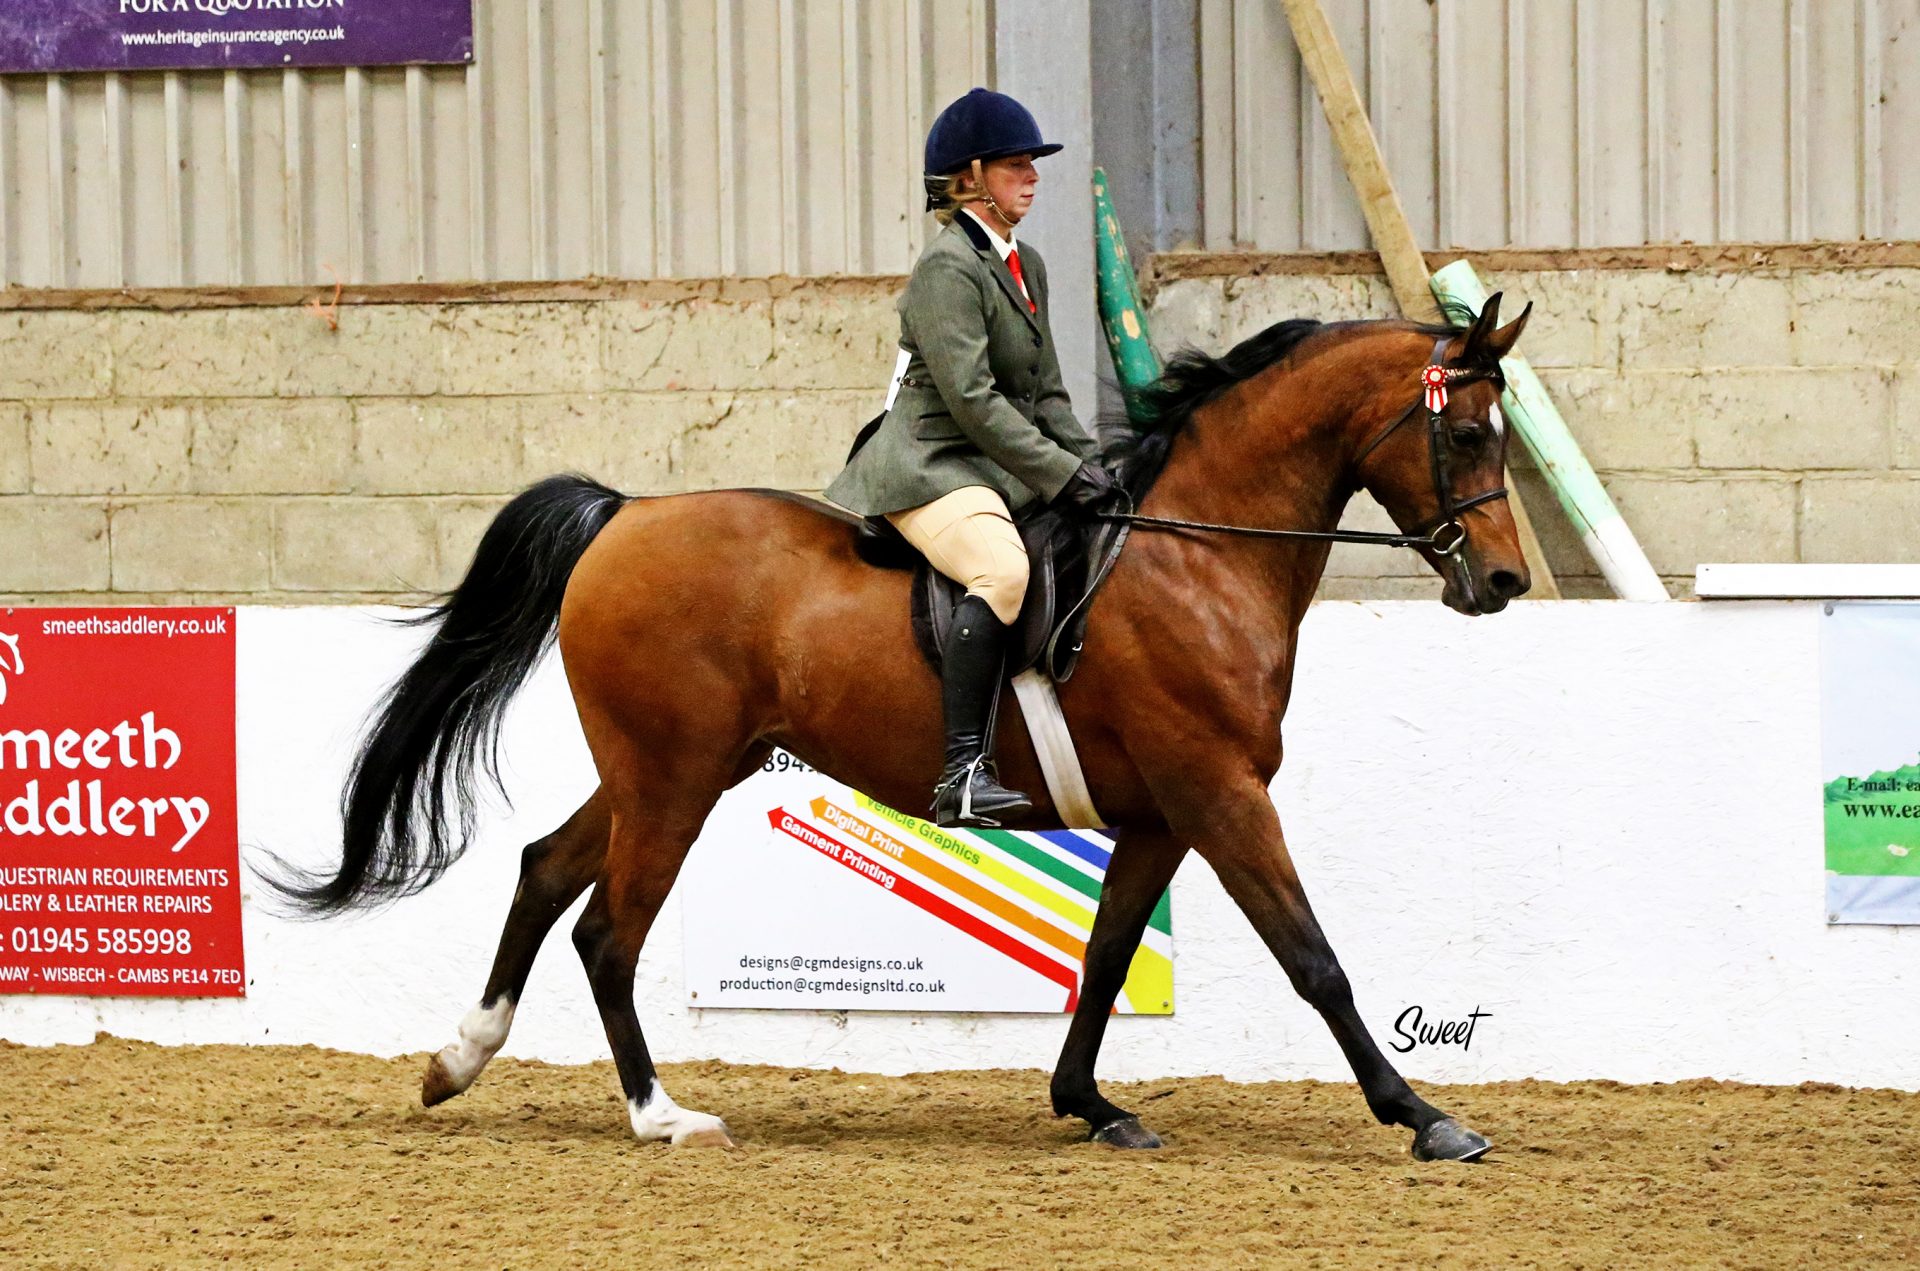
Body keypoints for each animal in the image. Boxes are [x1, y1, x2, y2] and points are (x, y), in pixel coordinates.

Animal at [272, 293, 1533, 1162]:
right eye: (1468, 436)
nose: (1508, 582)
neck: (1196, 552)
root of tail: (625, 514)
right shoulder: (1219, 791)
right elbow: (1314, 959)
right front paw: (1426, 1117)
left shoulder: (1161, 814)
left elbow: (1106, 955)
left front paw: (1089, 1103)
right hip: (672, 779)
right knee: (608, 933)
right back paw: (662, 1115)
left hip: (672, 768)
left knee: (544, 870)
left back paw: (456, 1059)